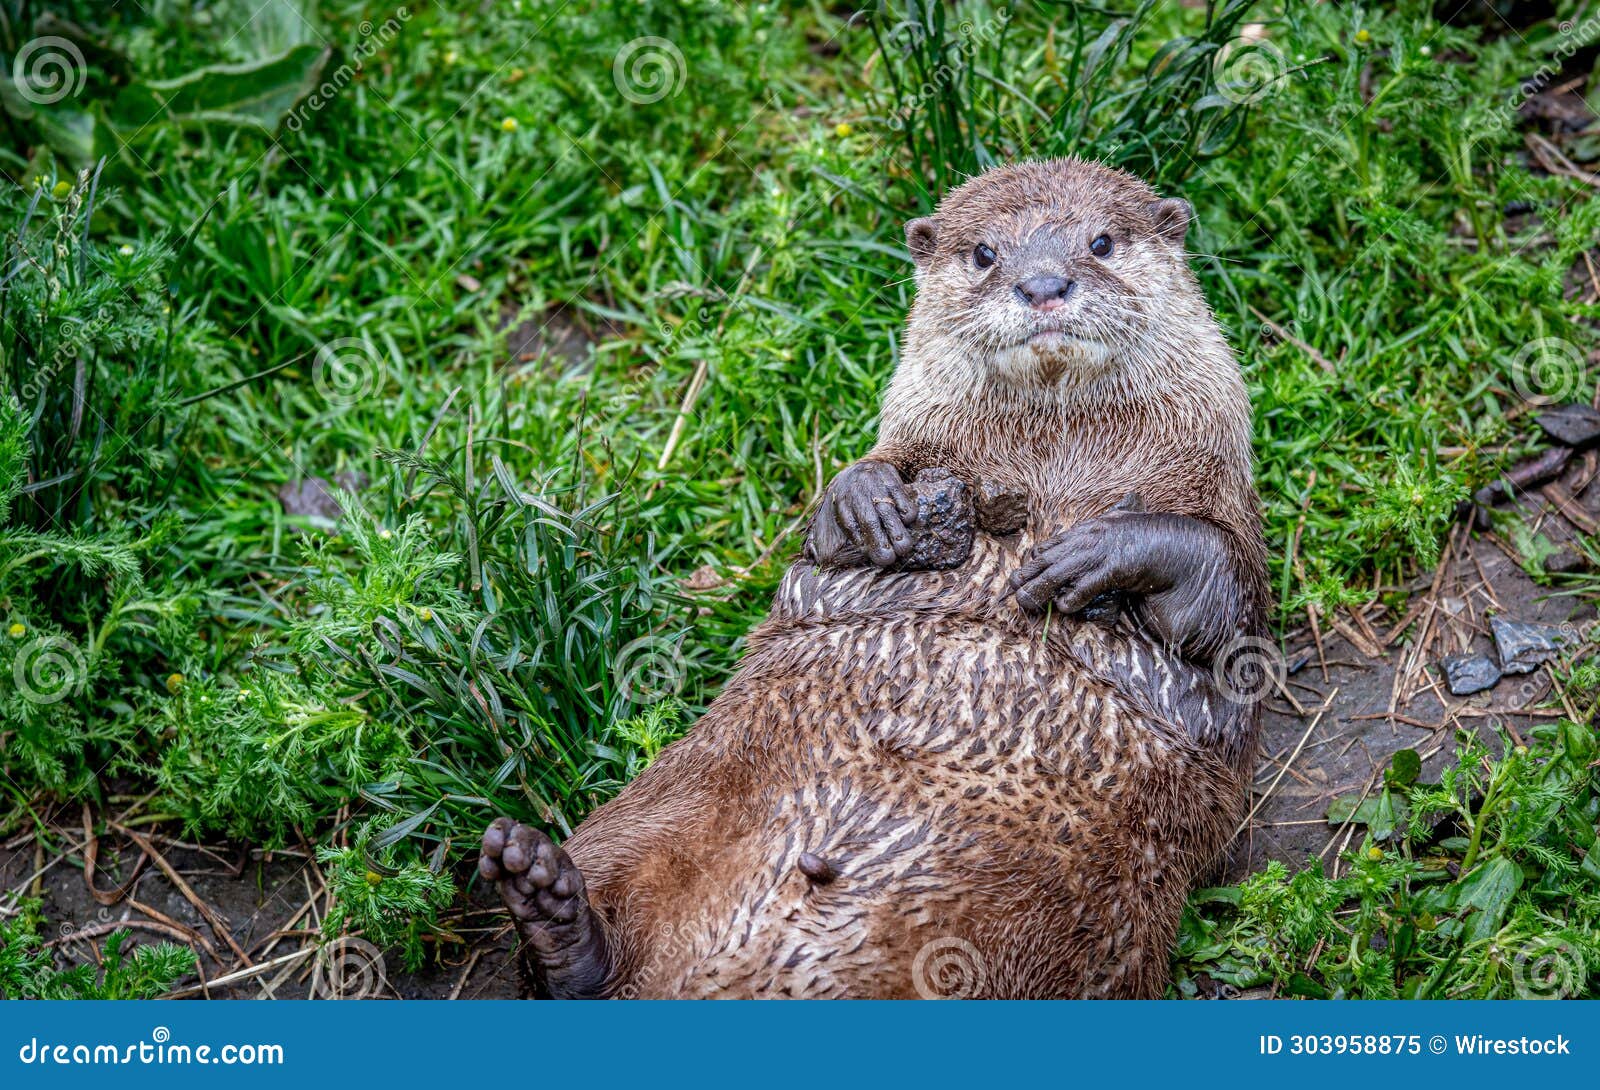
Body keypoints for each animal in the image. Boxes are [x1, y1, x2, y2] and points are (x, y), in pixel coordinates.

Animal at [479, 158, 1268, 999]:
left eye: (1103, 242)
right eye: (985, 253)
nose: (1043, 284)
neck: (1055, 473)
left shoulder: (1226, 515)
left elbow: (1219, 595)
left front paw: (1092, 554)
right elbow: (833, 521)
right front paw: (869, 500)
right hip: (647, 818)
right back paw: (547, 898)